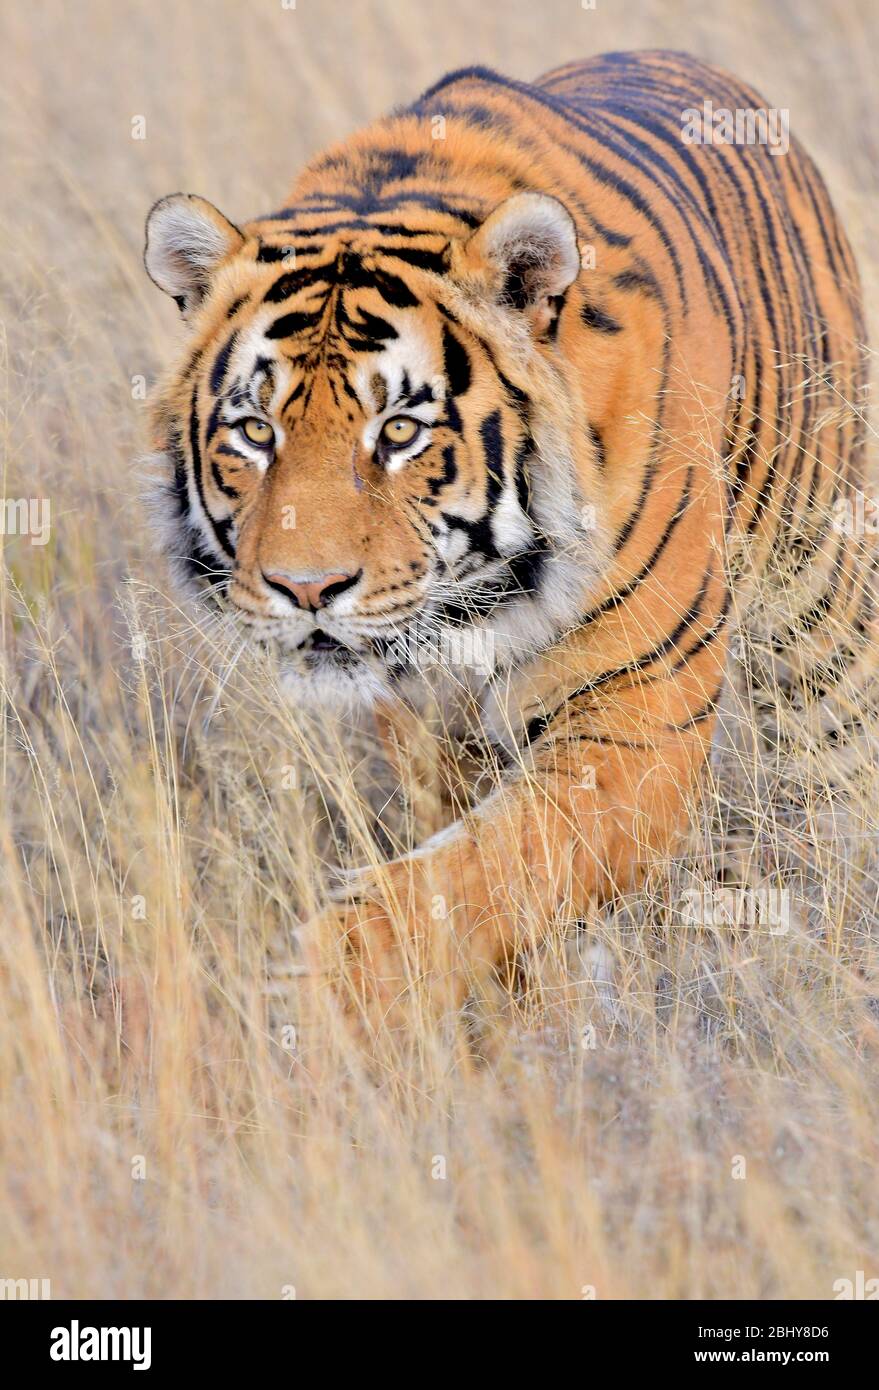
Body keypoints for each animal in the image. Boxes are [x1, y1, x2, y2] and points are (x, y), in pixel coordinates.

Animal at [143, 49, 870, 1024]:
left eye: (400, 431)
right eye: (256, 431)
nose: (306, 589)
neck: (477, 604)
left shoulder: (636, 721)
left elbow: (488, 869)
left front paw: (307, 997)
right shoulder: (424, 732)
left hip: (818, 611)